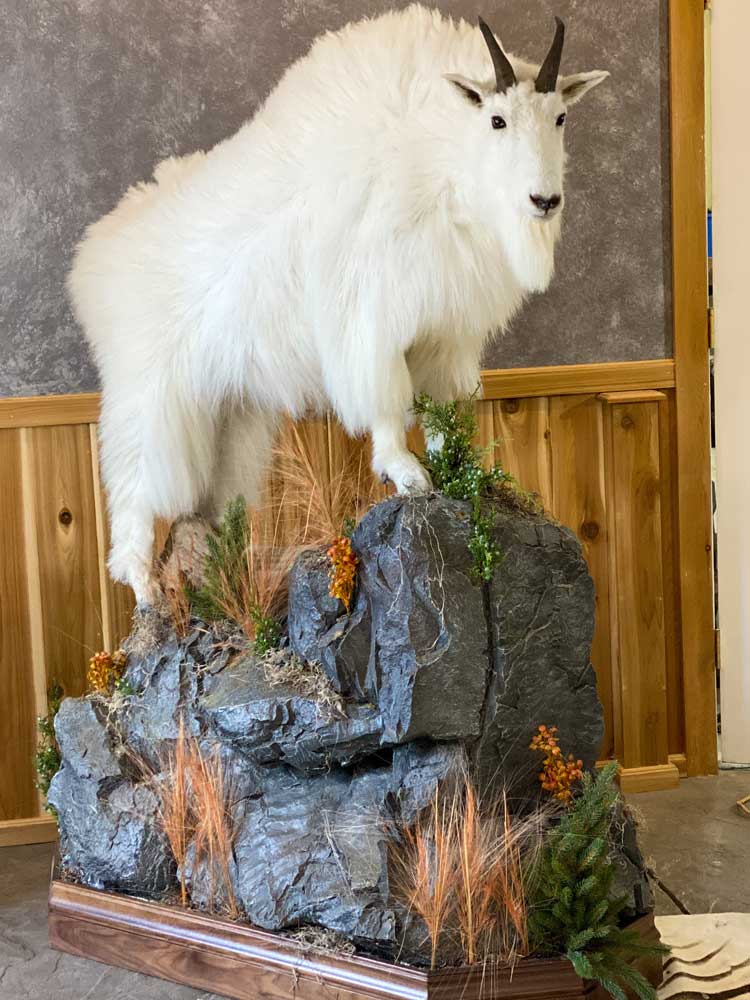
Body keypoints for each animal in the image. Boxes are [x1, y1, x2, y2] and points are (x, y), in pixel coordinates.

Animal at [68, 4, 608, 605]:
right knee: (135, 490)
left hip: (225, 411)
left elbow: (443, 409)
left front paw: (456, 470)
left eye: (560, 117)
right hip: (148, 399)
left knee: (211, 502)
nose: (544, 200)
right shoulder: (370, 319)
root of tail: (94, 258)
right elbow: (384, 397)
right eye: (497, 120)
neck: (439, 161)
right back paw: (147, 591)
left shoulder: (444, 332)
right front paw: (406, 474)